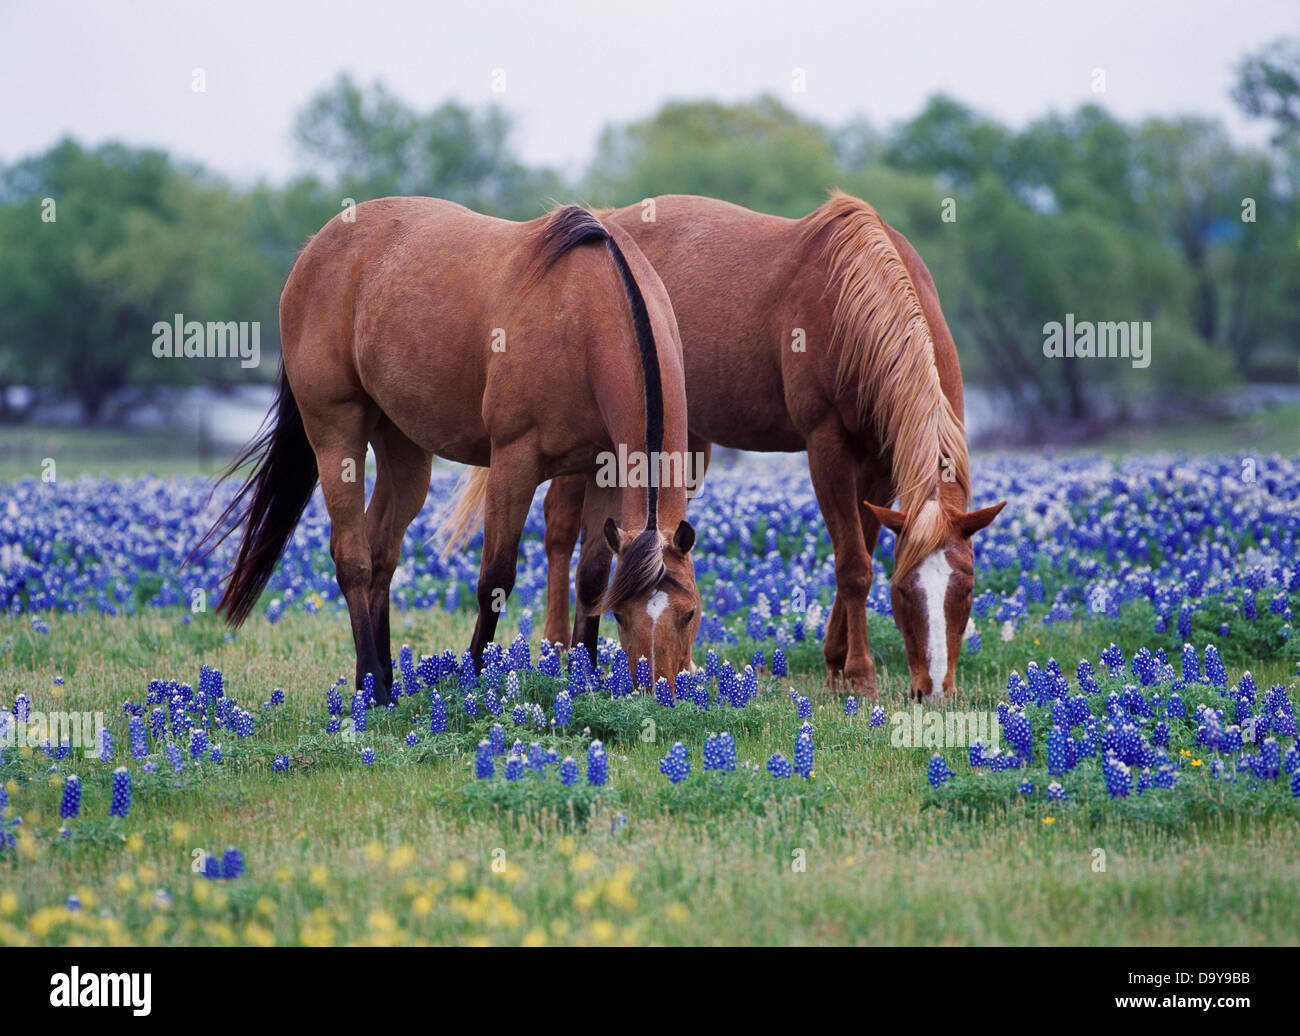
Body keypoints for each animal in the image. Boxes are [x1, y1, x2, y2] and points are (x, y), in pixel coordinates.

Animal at [194, 198, 700, 705]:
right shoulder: (514, 463)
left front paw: (586, 676)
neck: (587, 311)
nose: (661, 692)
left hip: (402, 446)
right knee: (353, 557)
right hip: (335, 429)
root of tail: (314, 250)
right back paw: (373, 684)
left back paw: (386, 679)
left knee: (382, 552)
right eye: (623, 615)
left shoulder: (604, 469)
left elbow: (592, 577)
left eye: (691, 612)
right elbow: (496, 579)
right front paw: (476, 675)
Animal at [532, 193, 1004, 701]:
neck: (857, 302)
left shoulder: (880, 461)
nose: (934, 690)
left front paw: (835, 661)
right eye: (901, 591)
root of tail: (606, 220)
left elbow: (863, 547)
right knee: (560, 528)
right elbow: (853, 566)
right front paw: (860, 675)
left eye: (968, 589)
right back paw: (557, 645)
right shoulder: (826, 444)